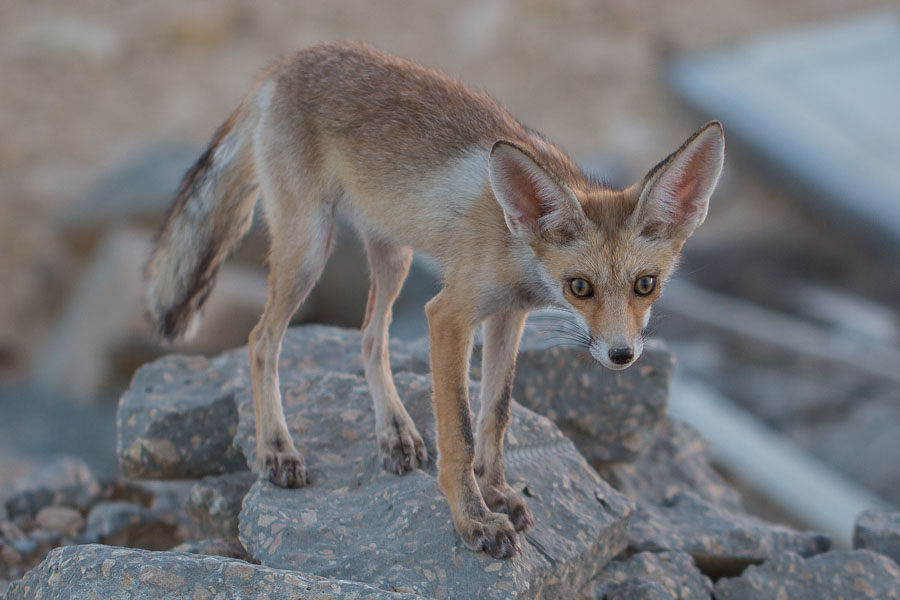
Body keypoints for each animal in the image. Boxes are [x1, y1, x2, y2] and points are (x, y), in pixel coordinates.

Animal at [146, 40, 724, 559]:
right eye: (580, 287)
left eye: (646, 285)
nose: (621, 356)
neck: (513, 243)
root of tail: (284, 63)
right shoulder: (449, 315)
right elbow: (461, 433)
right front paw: (473, 519)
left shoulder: (508, 316)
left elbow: (496, 414)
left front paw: (496, 491)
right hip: (308, 249)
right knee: (261, 340)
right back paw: (277, 448)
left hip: (393, 255)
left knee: (370, 338)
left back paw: (395, 432)